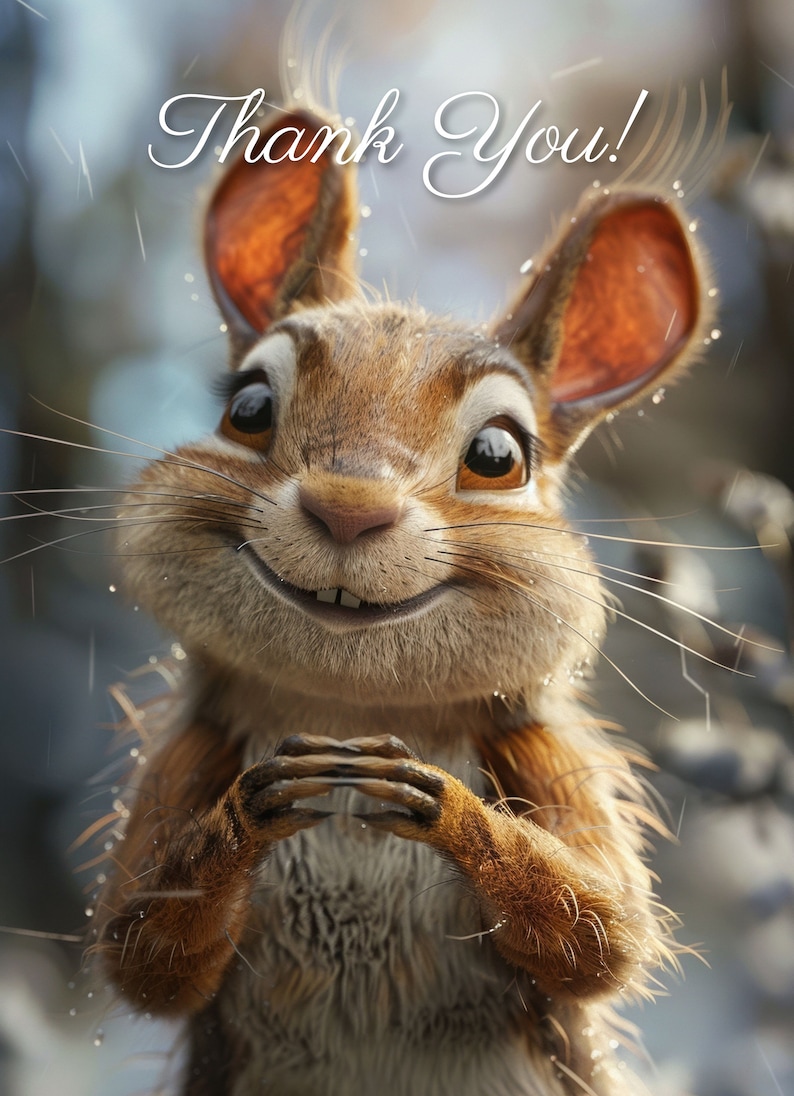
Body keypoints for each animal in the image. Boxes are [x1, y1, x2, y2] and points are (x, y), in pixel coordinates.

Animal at [90, 102, 709, 1095]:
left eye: (501, 456)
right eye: (247, 408)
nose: (349, 507)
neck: (353, 706)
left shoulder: (537, 747)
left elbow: (605, 932)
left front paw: (440, 803)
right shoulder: (198, 745)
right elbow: (141, 948)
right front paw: (254, 809)